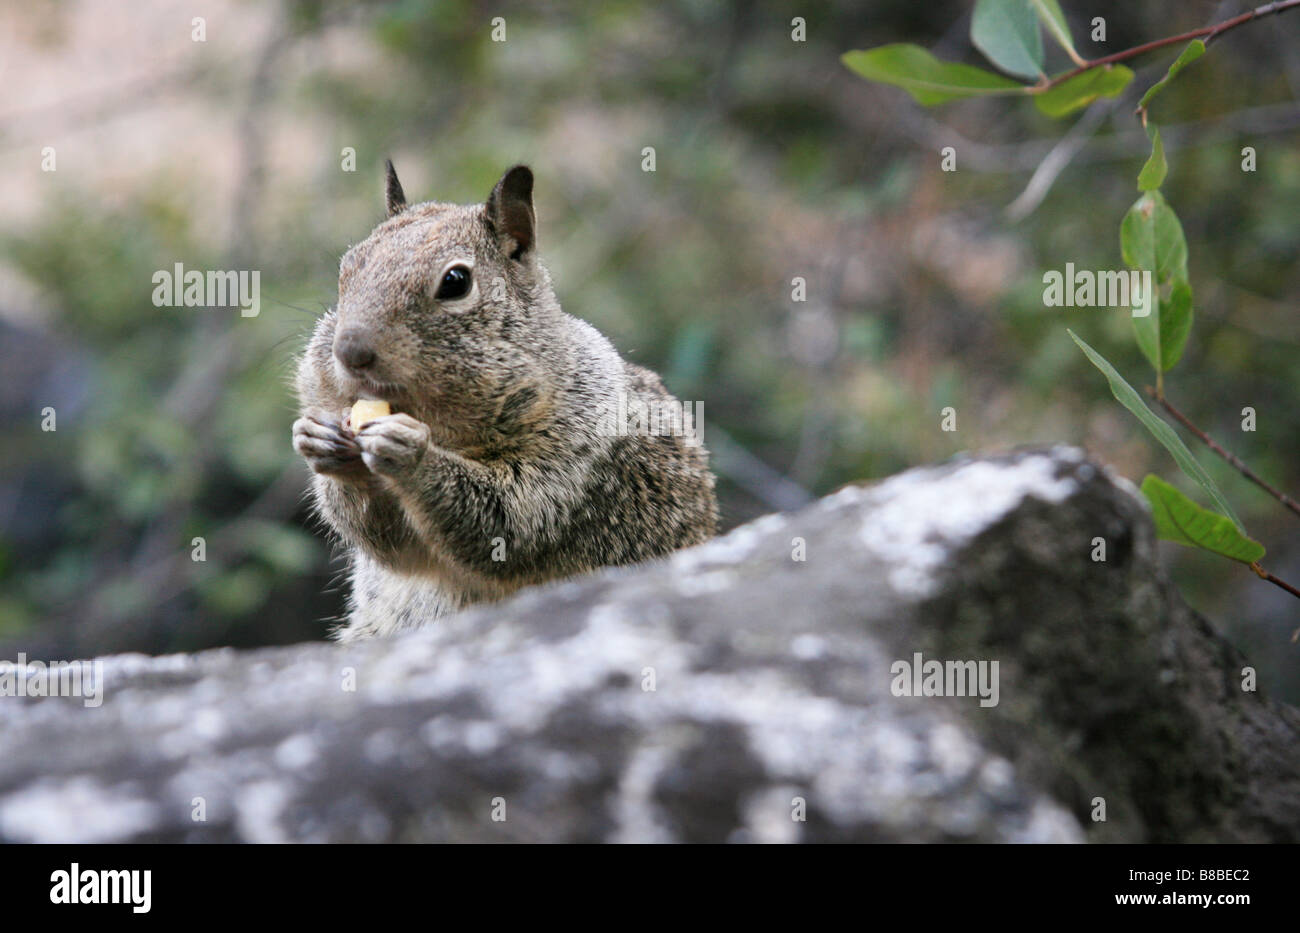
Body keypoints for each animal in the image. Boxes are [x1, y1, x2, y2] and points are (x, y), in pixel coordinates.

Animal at [293, 161, 718, 641]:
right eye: (346, 269)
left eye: (455, 282)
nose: (349, 351)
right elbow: (389, 546)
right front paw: (319, 441)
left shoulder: (572, 461)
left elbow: (504, 524)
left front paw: (410, 454)